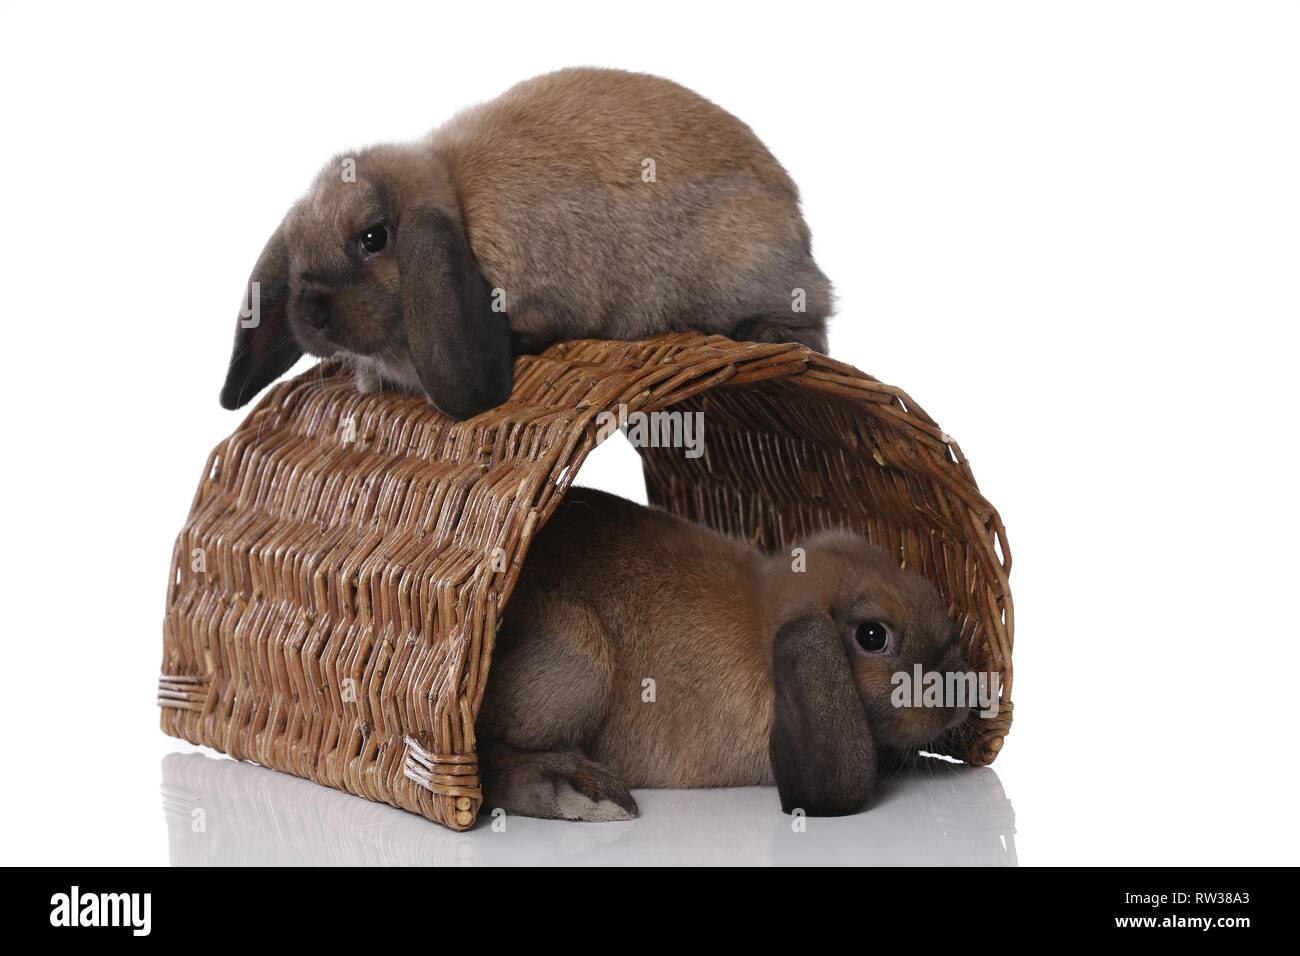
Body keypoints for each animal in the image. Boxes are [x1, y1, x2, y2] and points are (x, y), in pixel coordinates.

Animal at [220, 67, 833, 420]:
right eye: (297, 250)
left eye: (374, 238)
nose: (309, 312)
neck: (458, 205)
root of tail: (798, 223)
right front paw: (368, 381)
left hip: (752, 272)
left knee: (815, 328)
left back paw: (765, 333)